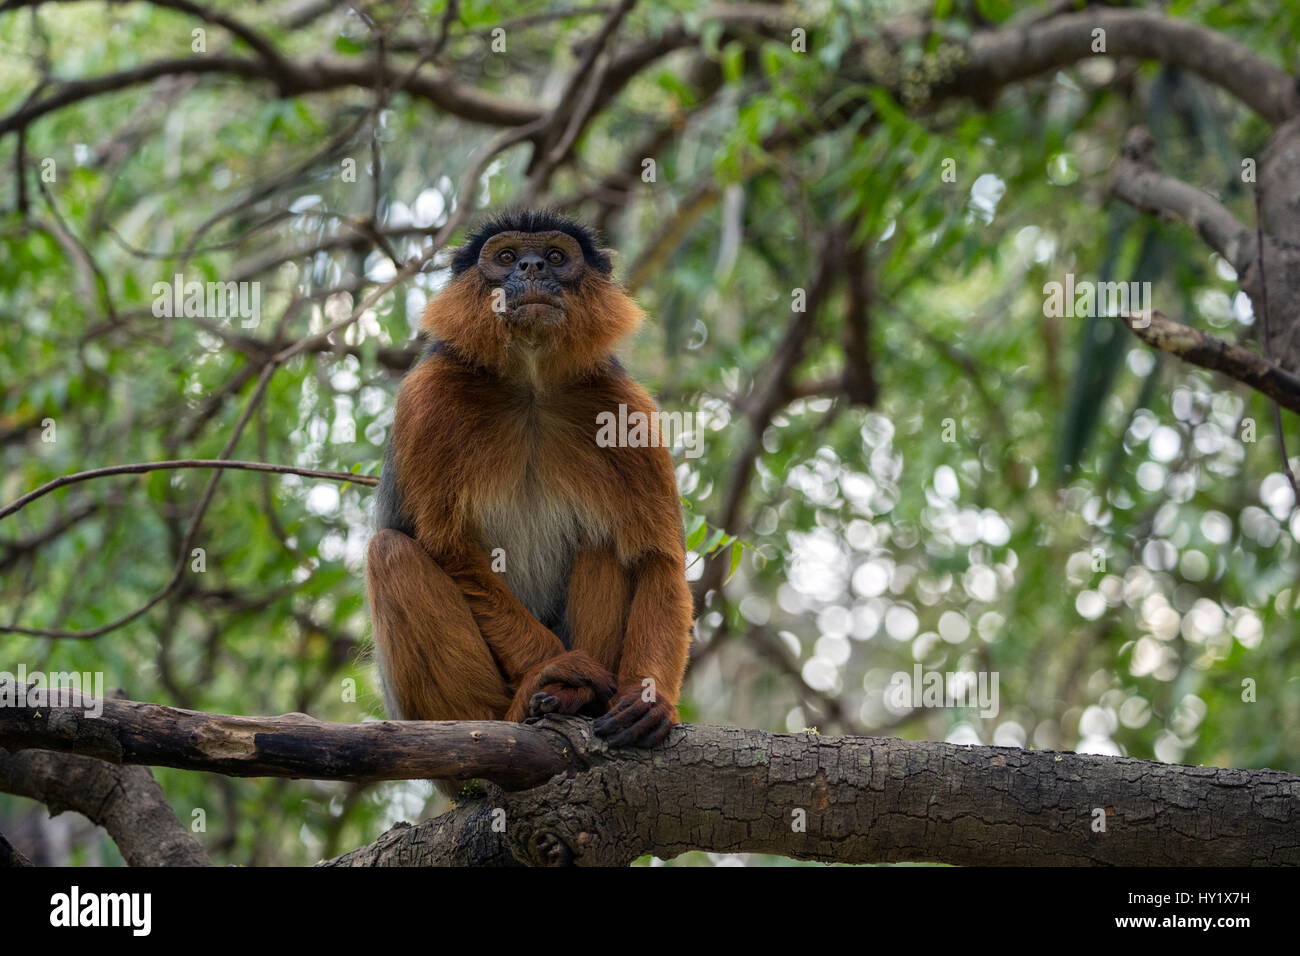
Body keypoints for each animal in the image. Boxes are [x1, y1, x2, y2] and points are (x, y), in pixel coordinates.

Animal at [366, 208, 691, 749]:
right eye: (507, 257)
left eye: (555, 257)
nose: (533, 267)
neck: (531, 385)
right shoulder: (429, 396)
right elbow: (448, 549)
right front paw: (556, 666)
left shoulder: (623, 402)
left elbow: (655, 558)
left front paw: (649, 699)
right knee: (390, 552)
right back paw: (527, 701)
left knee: (606, 543)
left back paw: (573, 699)